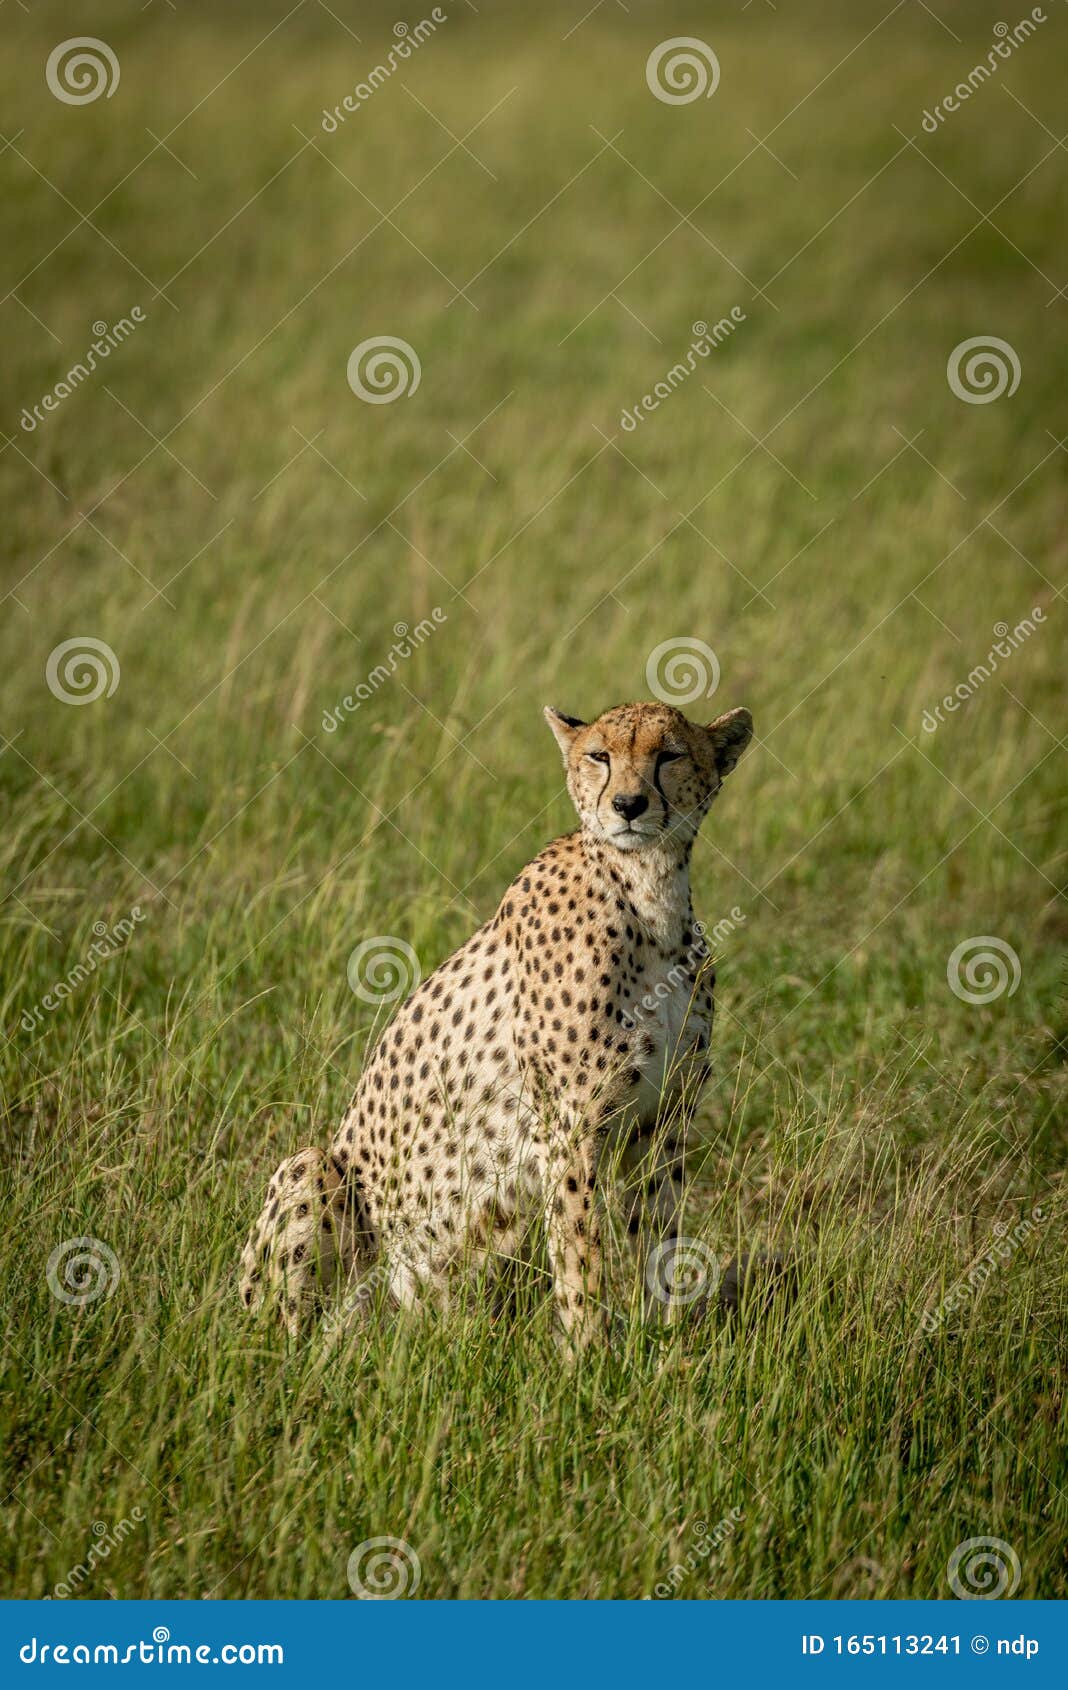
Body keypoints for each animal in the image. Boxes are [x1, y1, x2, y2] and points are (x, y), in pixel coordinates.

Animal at [239, 698, 753, 1346]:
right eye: (600, 756)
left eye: (670, 754)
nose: (628, 805)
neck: (648, 892)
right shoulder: (569, 1127)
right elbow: (579, 1250)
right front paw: (590, 1353)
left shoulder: (660, 1122)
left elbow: (660, 1239)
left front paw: (665, 1340)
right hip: (314, 1176)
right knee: (280, 1337)